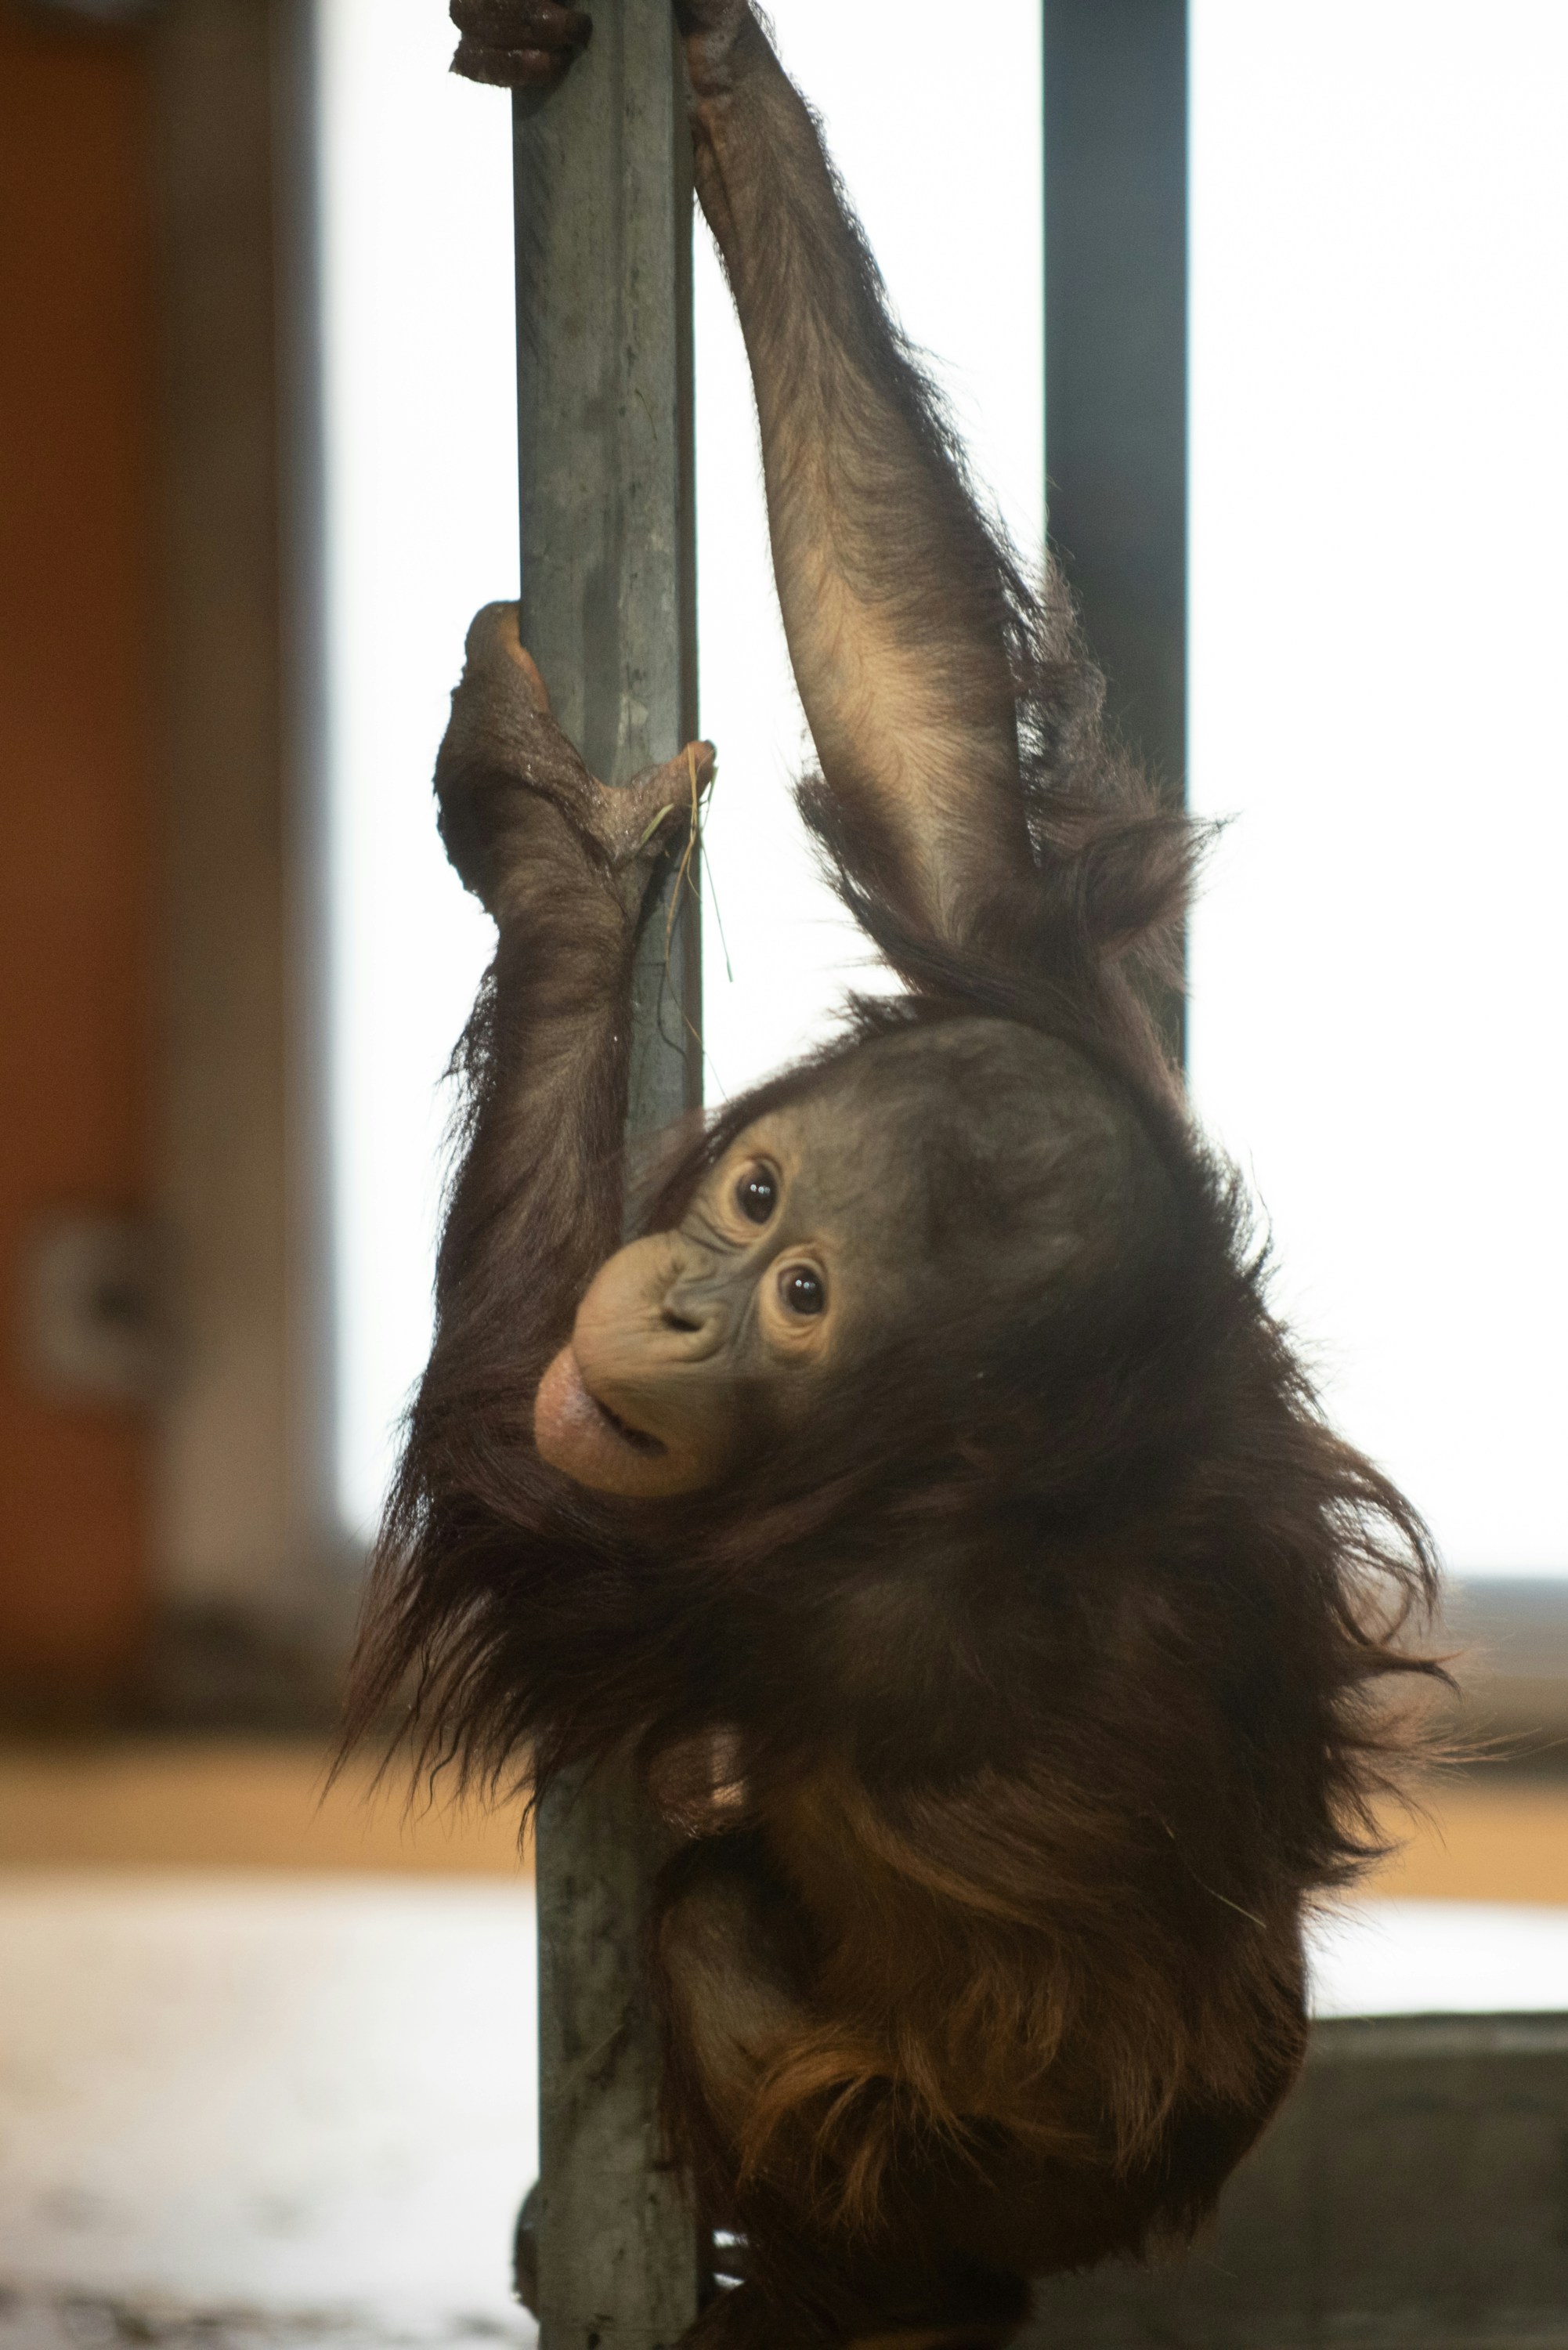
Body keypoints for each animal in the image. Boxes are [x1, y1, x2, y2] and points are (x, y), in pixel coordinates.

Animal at [346, 3, 1443, 2343]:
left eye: (797, 1306)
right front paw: (707, 75)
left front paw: (551, 868)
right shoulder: (1072, 1027)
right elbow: (924, 743)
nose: (676, 1297)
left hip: (983, 2153)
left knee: (712, 1927)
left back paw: (842, 2285)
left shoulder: (804, 1601)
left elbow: (500, 1475)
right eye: (757, 1204)